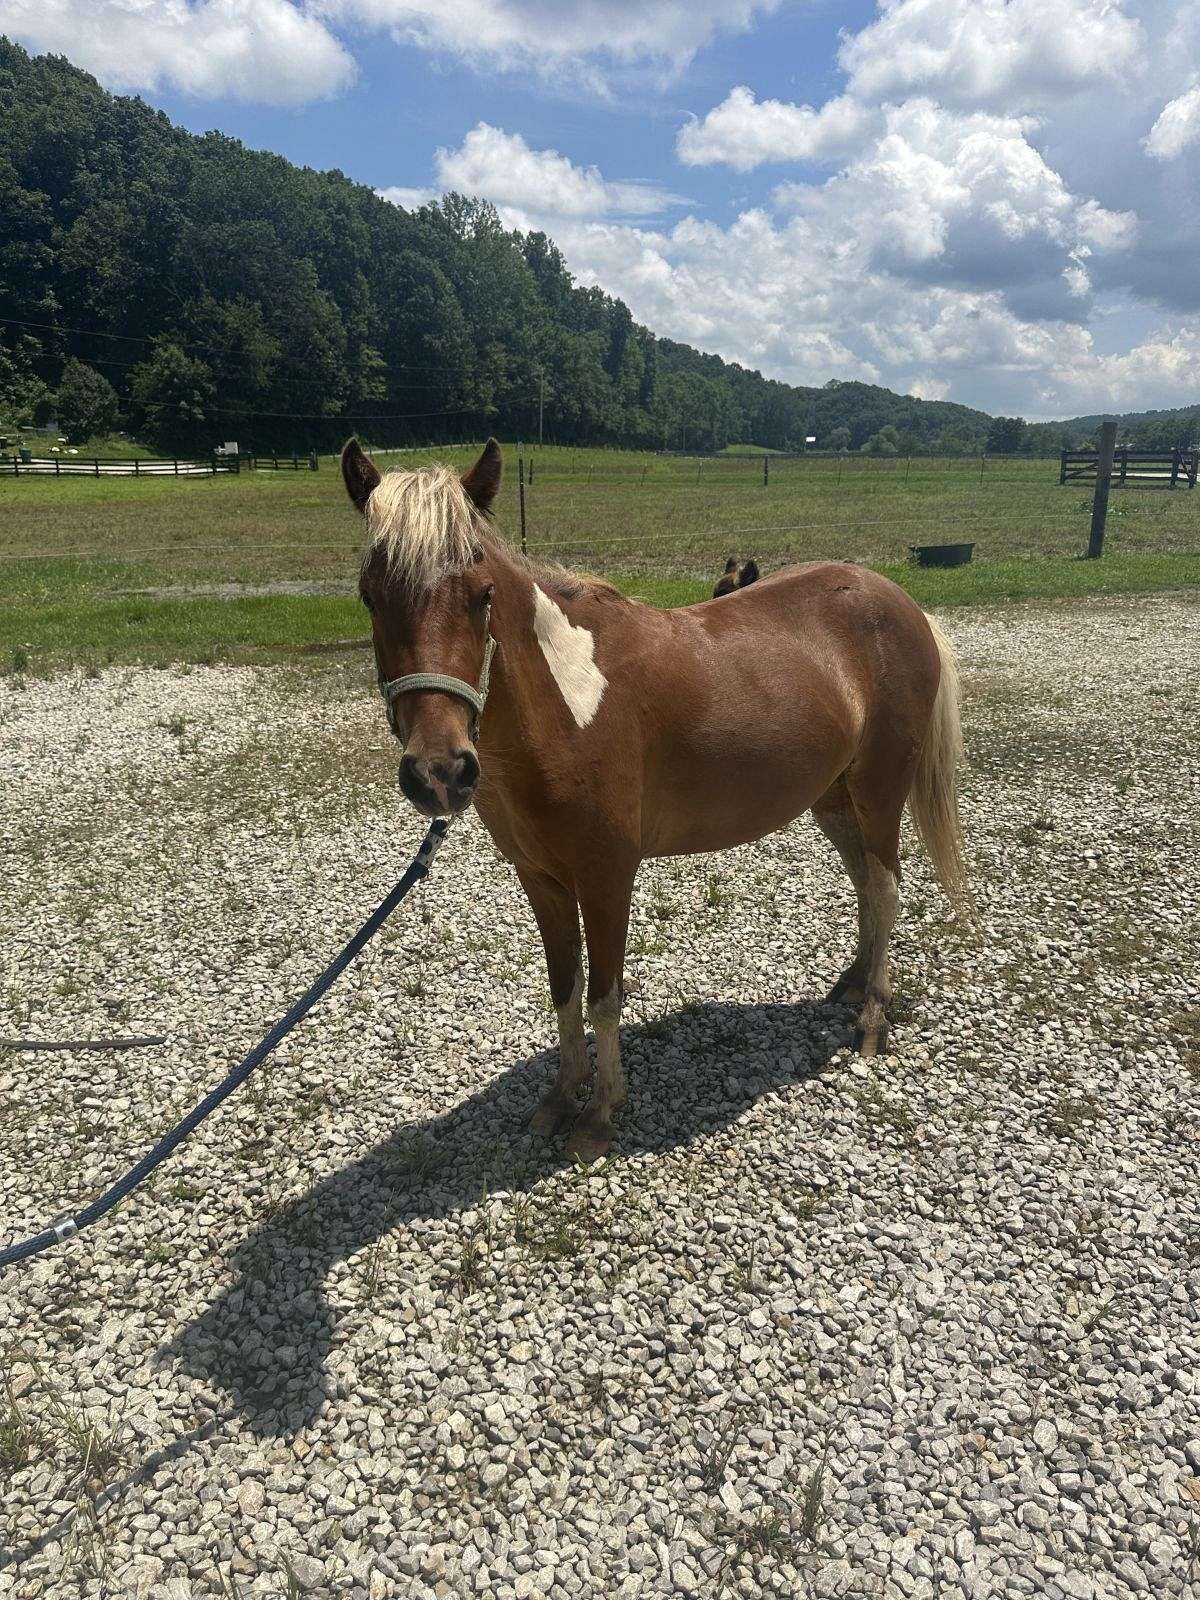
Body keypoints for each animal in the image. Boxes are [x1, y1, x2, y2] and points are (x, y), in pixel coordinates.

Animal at [344, 438, 966, 1162]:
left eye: (483, 595)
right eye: (368, 598)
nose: (440, 771)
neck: (566, 705)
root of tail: (904, 604)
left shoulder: (607, 876)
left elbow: (605, 997)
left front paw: (601, 1114)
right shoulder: (541, 880)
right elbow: (565, 990)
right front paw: (560, 1098)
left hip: (878, 792)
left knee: (887, 889)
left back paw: (871, 1021)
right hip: (834, 801)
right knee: (867, 883)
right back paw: (852, 985)